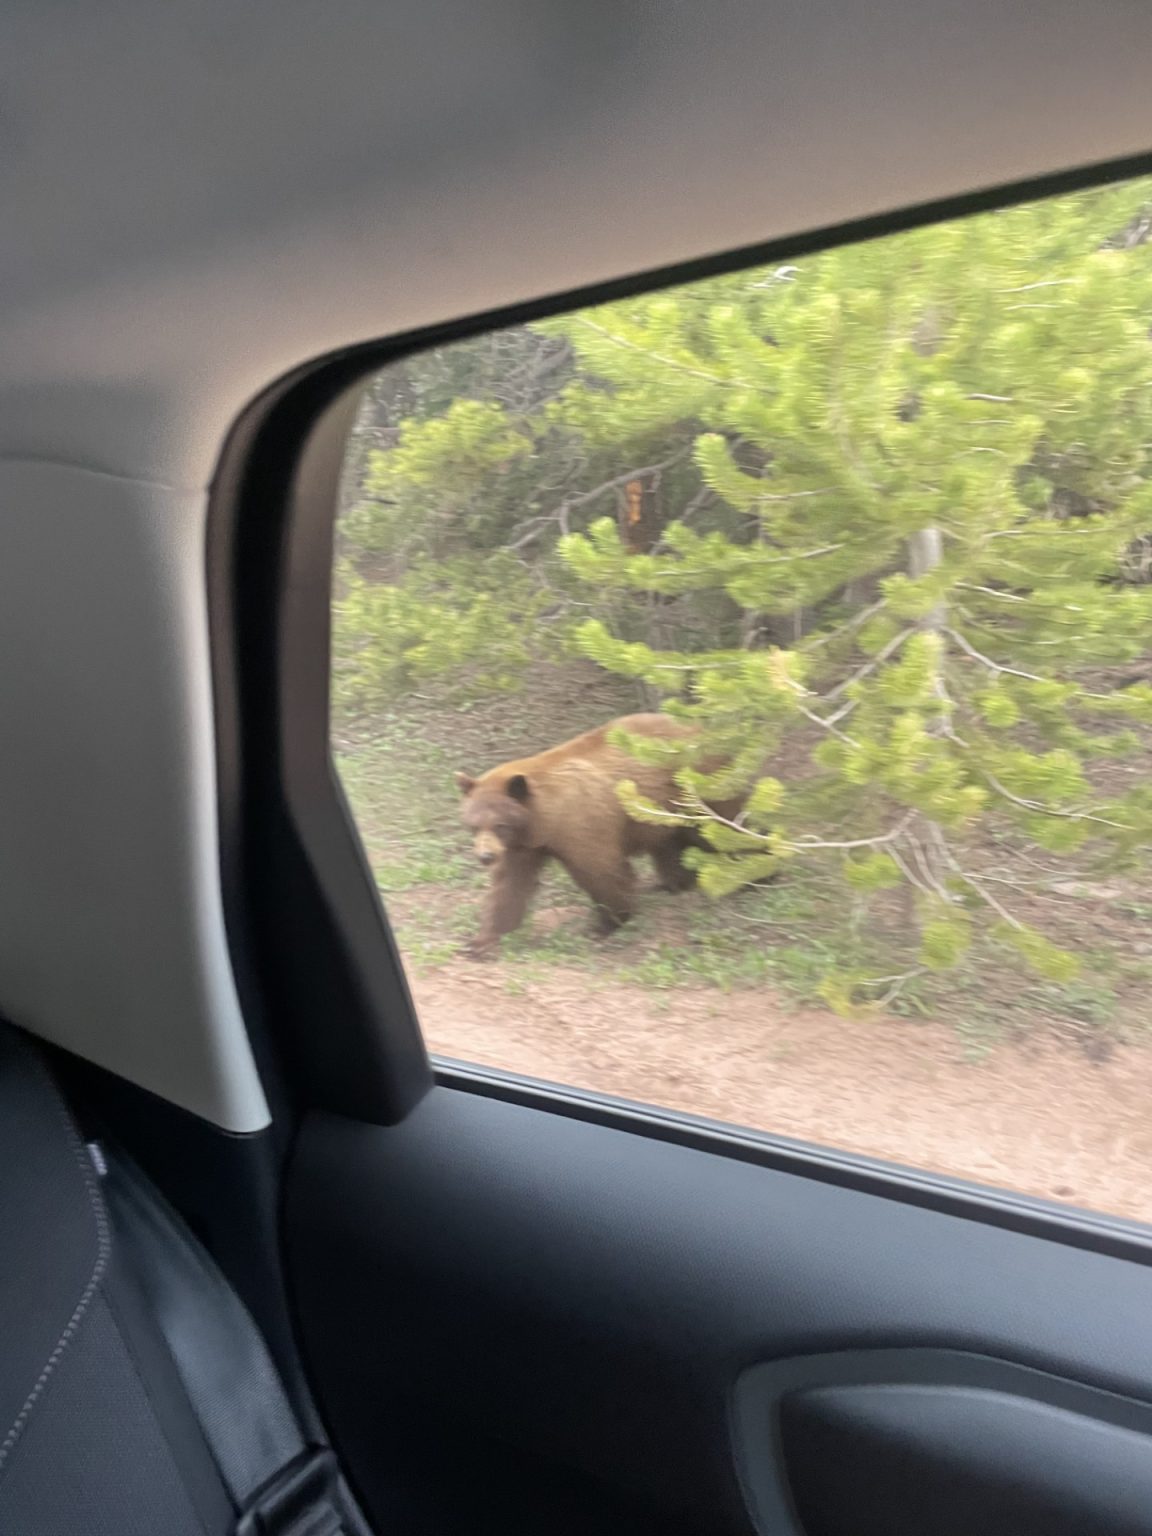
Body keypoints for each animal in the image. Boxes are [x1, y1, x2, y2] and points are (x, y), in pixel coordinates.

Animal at [454, 713, 746, 958]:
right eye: (474, 825)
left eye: (500, 825)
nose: (485, 856)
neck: (544, 817)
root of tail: (705, 729)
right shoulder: (523, 847)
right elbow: (509, 886)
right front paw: (481, 941)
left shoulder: (580, 824)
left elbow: (602, 870)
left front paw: (607, 922)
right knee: (670, 843)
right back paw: (675, 882)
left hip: (699, 785)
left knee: (724, 824)